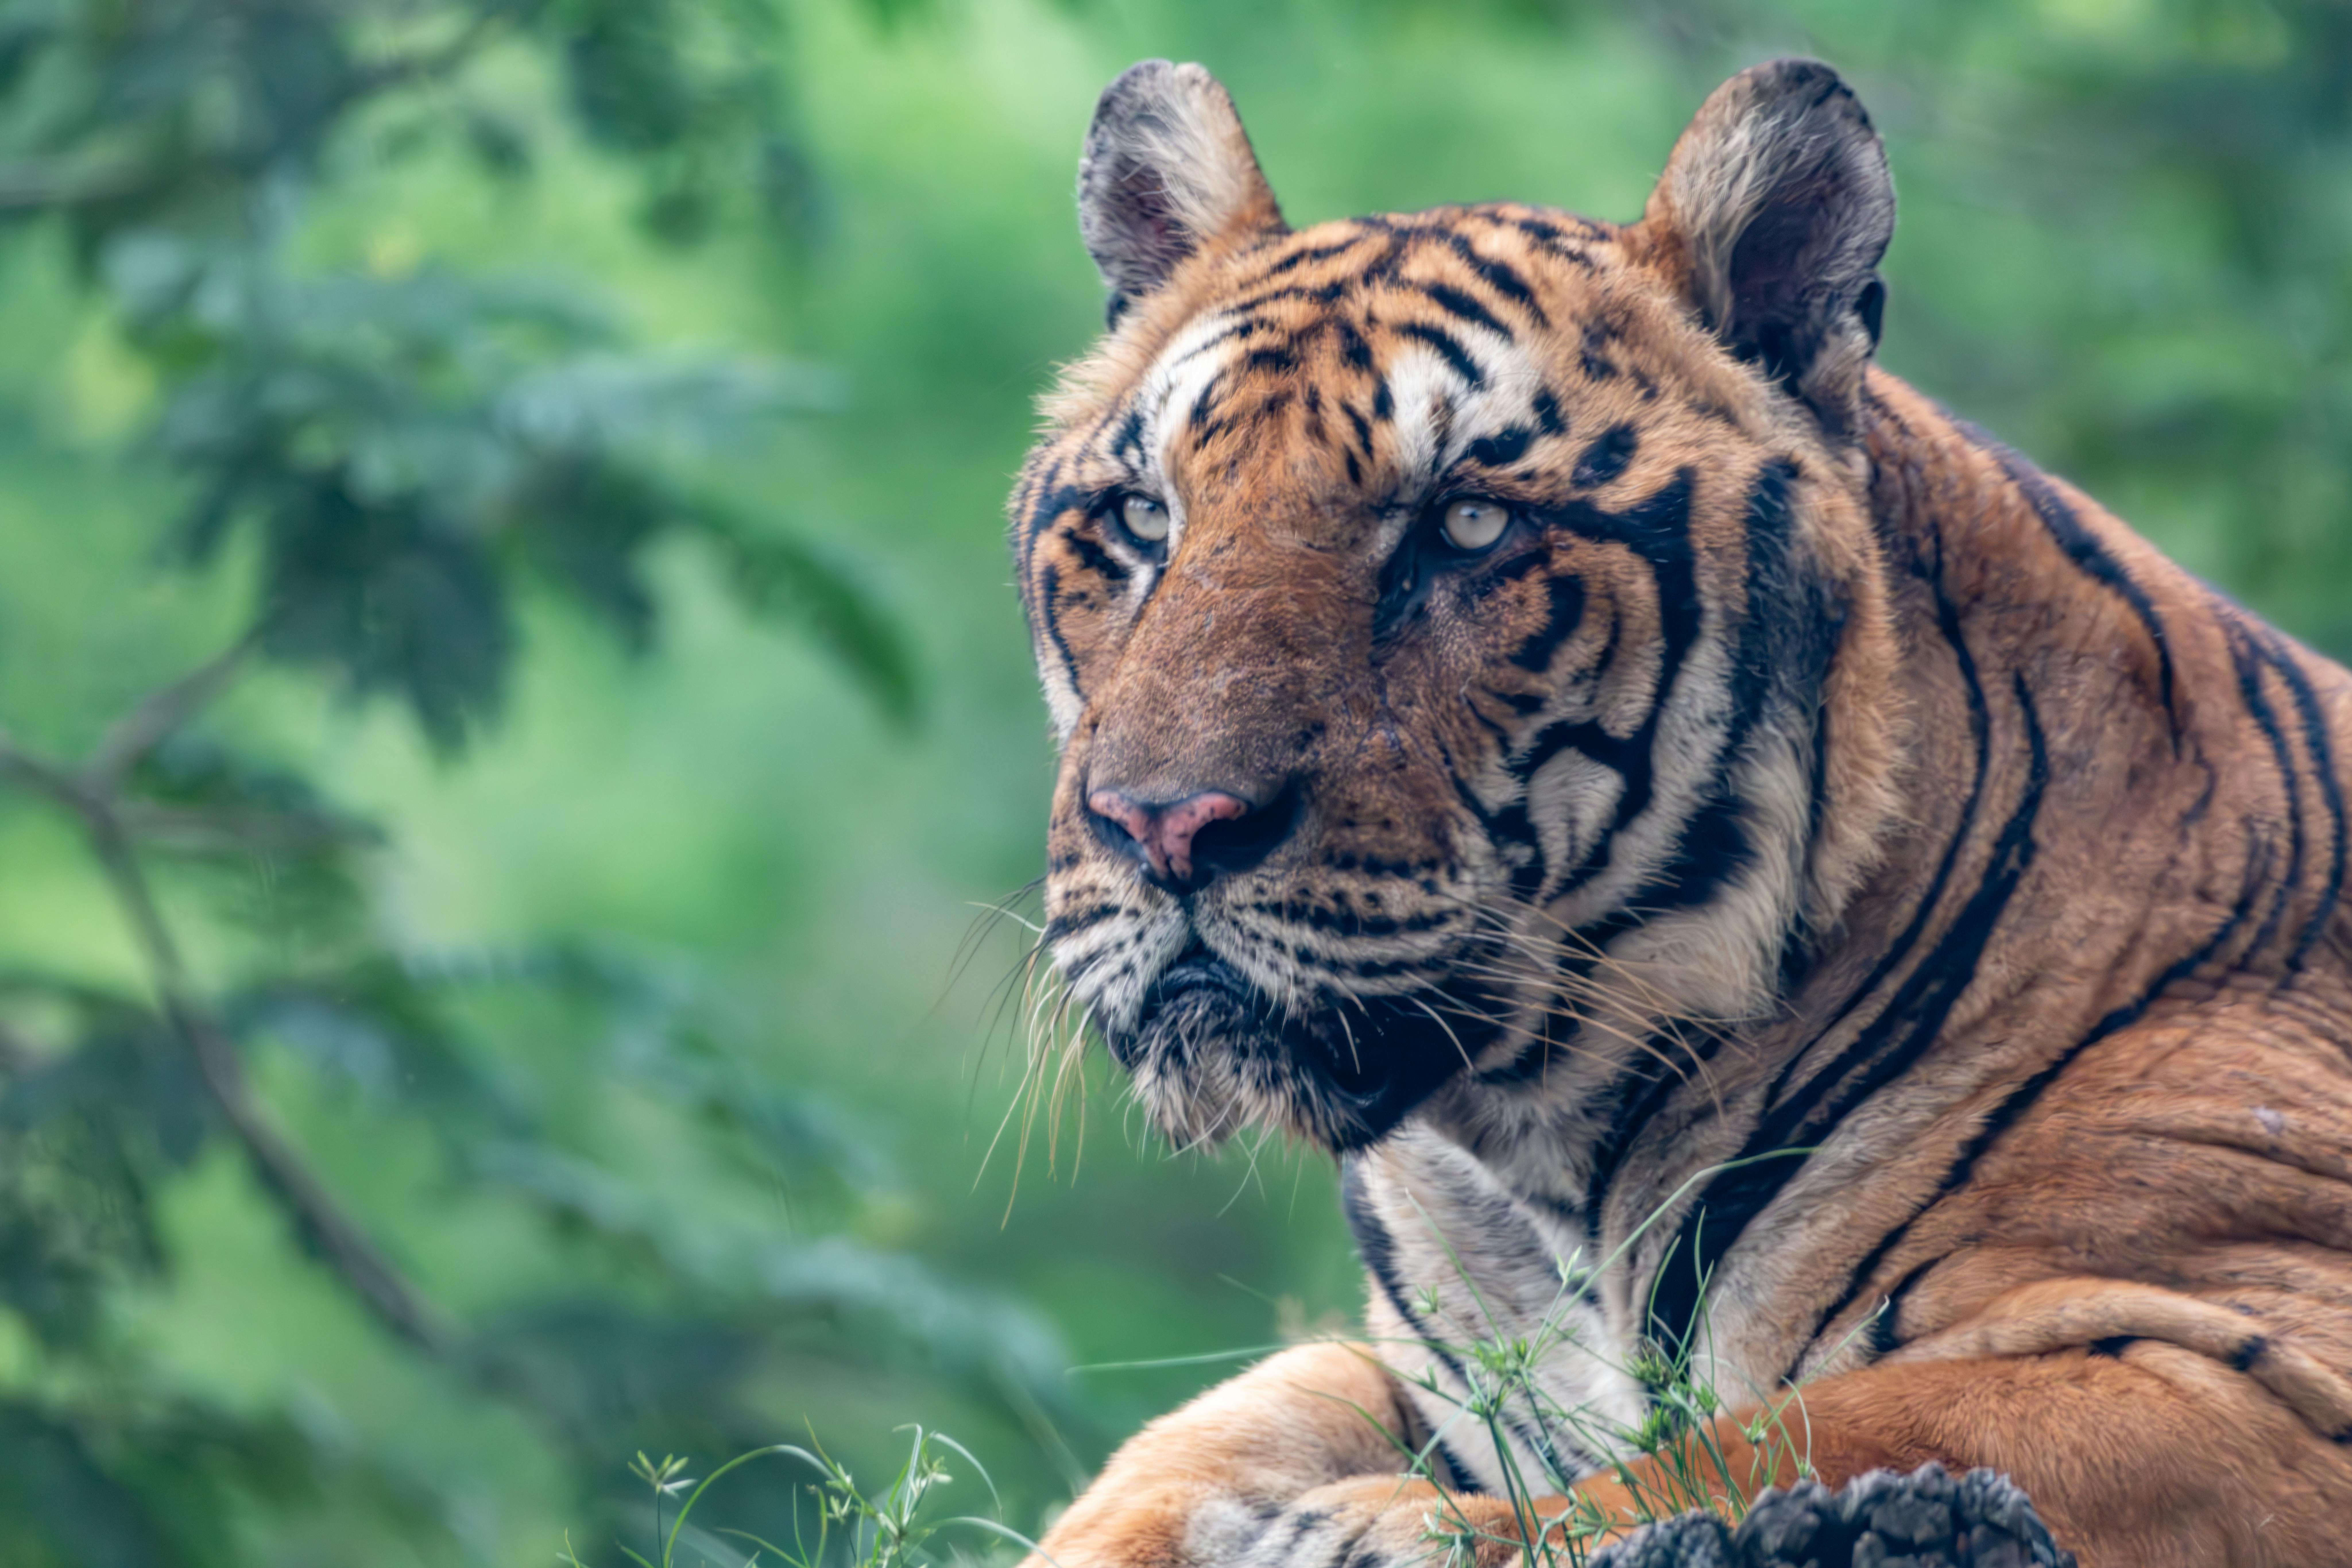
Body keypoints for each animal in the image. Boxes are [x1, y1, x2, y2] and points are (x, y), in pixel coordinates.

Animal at [1003, 56, 2352, 1568]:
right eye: (1140, 519)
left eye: (1466, 527)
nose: (1164, 826)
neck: (1539, 1161)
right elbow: (1184, 1444)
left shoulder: (2264, 1356)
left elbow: (1767, 1440)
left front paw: (1382, 1527)